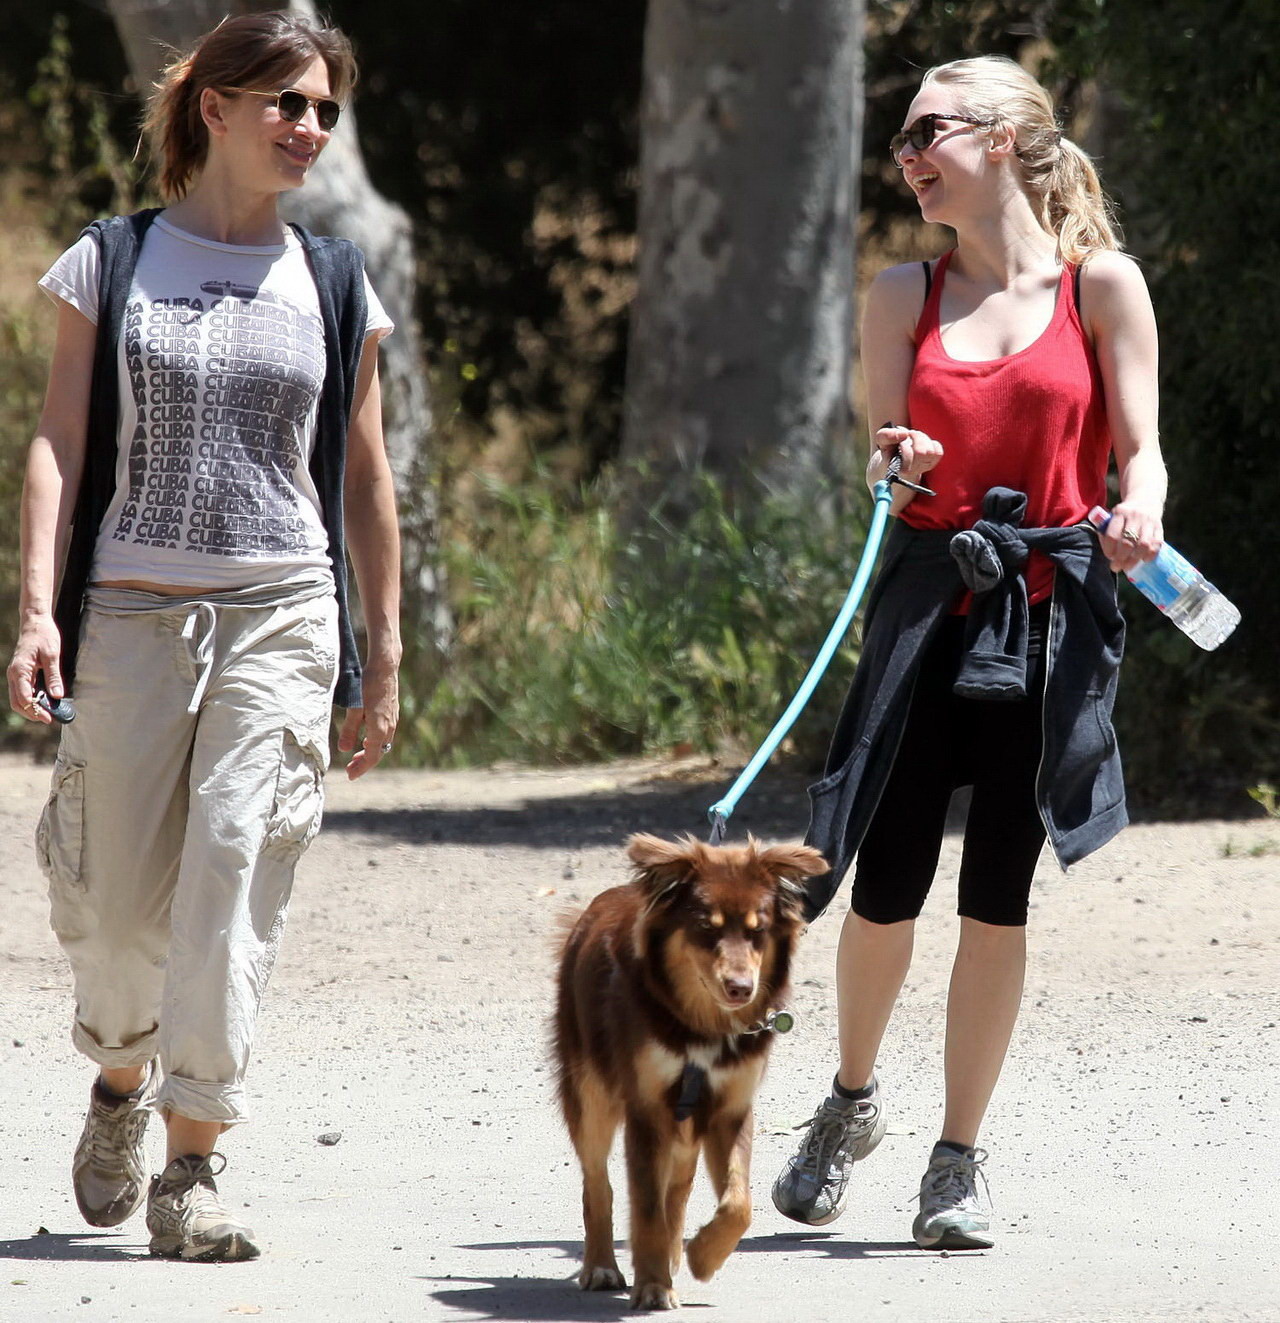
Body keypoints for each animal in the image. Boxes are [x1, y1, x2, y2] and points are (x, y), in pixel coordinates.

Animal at [555, 830, 825, 1307]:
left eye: (758, 932)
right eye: (706, 928)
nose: (741, 988)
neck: (704, 1028)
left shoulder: (730, 1108)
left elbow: (738, 1205)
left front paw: (701, 1256)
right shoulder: (647, 1109)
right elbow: (645, 1206)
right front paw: (652, 1285)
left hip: (683, 1124)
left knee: (677, 1189)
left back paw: (674, 1250)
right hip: (591, 1094)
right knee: (598, 1184)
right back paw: (602, 1265)